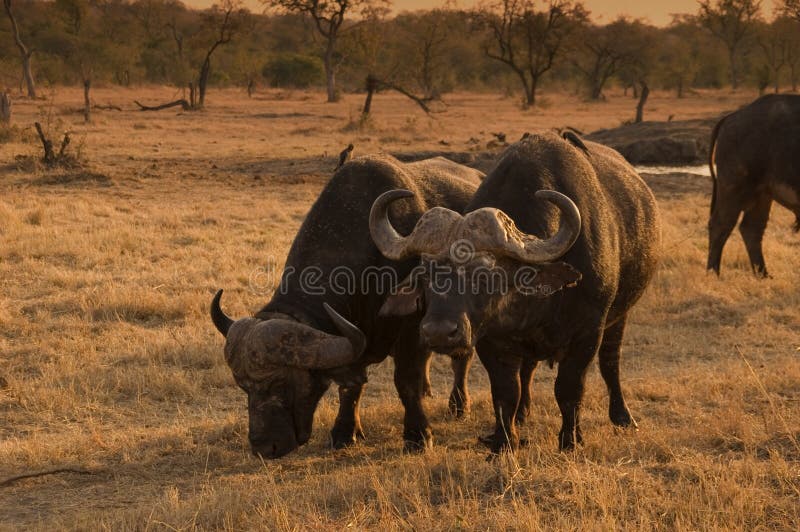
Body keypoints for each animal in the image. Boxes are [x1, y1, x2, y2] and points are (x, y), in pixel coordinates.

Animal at [211, 155, 483, 458]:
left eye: (280, 383)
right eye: (242, 385)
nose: (263, 446)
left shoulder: (413, 329)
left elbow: (405, 380)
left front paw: (418, 435)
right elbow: (350, 386)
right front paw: (345, 432)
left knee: (461, 358)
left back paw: (458, 405)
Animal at [371, 133, 661, 452]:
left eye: (485, 274)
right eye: (426, 273)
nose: (438, 332)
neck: (542, 301)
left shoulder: (588, 332)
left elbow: (569, 388)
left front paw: (570, 440)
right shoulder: (490, 337)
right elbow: (506, 391)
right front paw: (503, 441)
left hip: (619, 317)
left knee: (611, 363)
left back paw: (622, 416)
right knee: (527, 370)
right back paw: (522, 415)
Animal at [708, 94, 800, 277]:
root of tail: (732, 117)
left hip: (763, 194)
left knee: (751, 228)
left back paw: (763, 274)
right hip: (733, 187)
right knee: (720, 225)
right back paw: (713, 272)